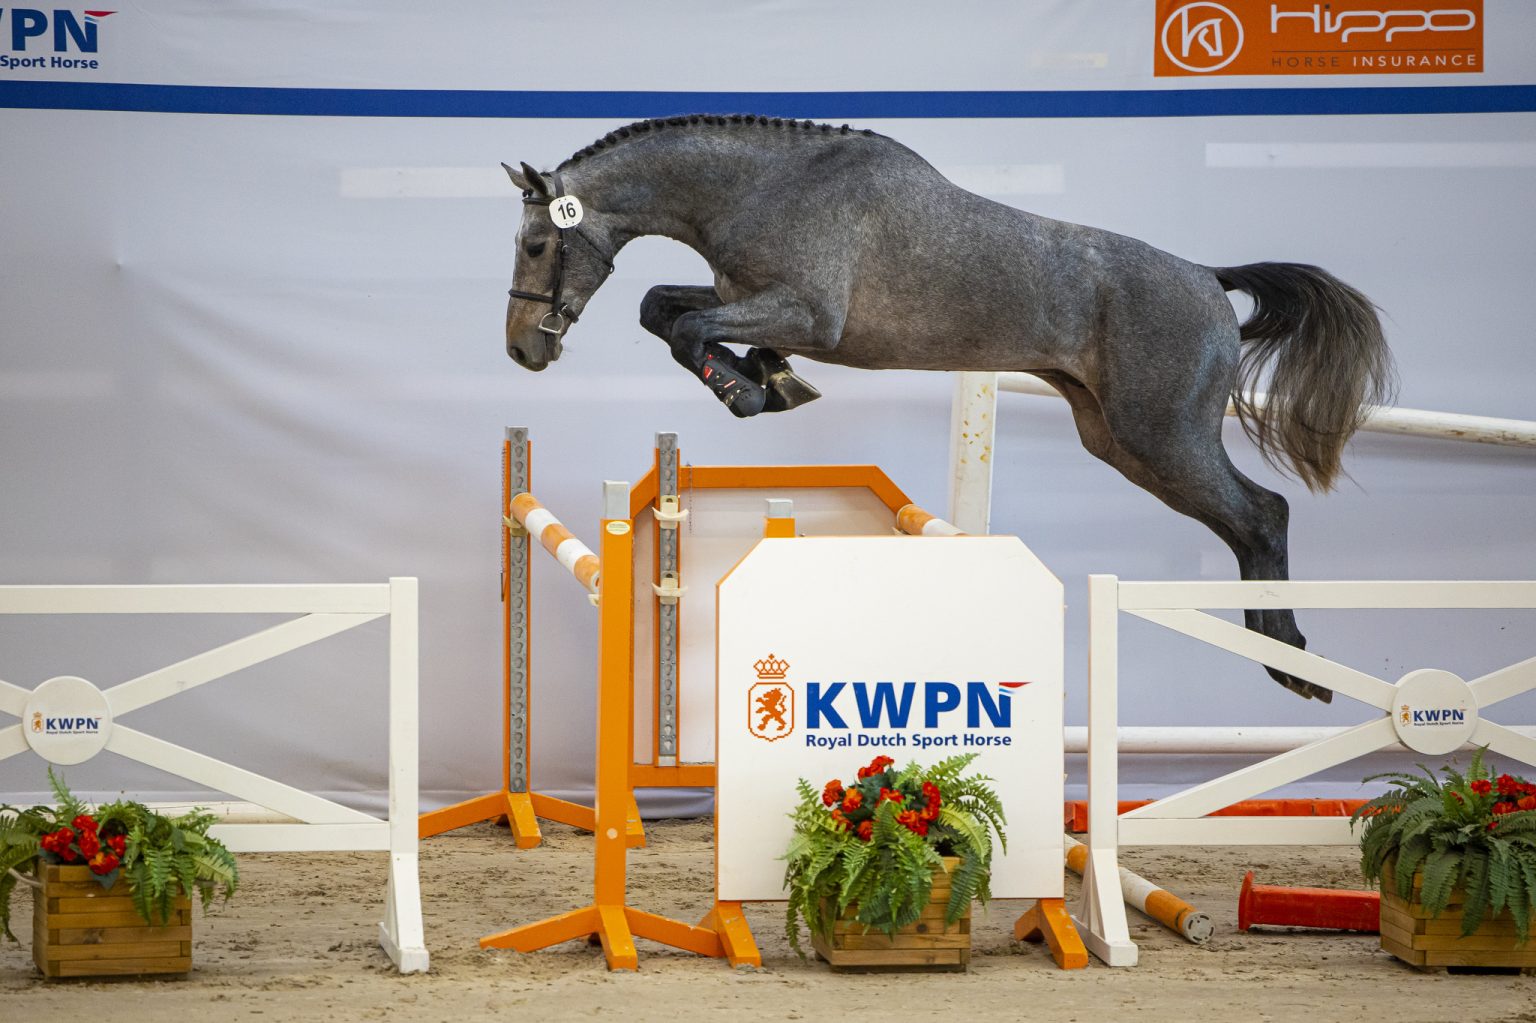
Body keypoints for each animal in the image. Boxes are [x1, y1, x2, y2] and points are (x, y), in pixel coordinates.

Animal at [501, 114, 1395, 702]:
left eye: (537, 244)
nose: (521, 353)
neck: (759, 187)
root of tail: (1210, 278)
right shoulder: (747, 299)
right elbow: (664, 308)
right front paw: (771, 380)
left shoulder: (804, 311)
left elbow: (685, 325)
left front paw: (752, 388)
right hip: (1118, 439)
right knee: (1247, 520)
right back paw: (1279, 653)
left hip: (1162, 434)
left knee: (1263, 513)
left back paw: (1291, 659)